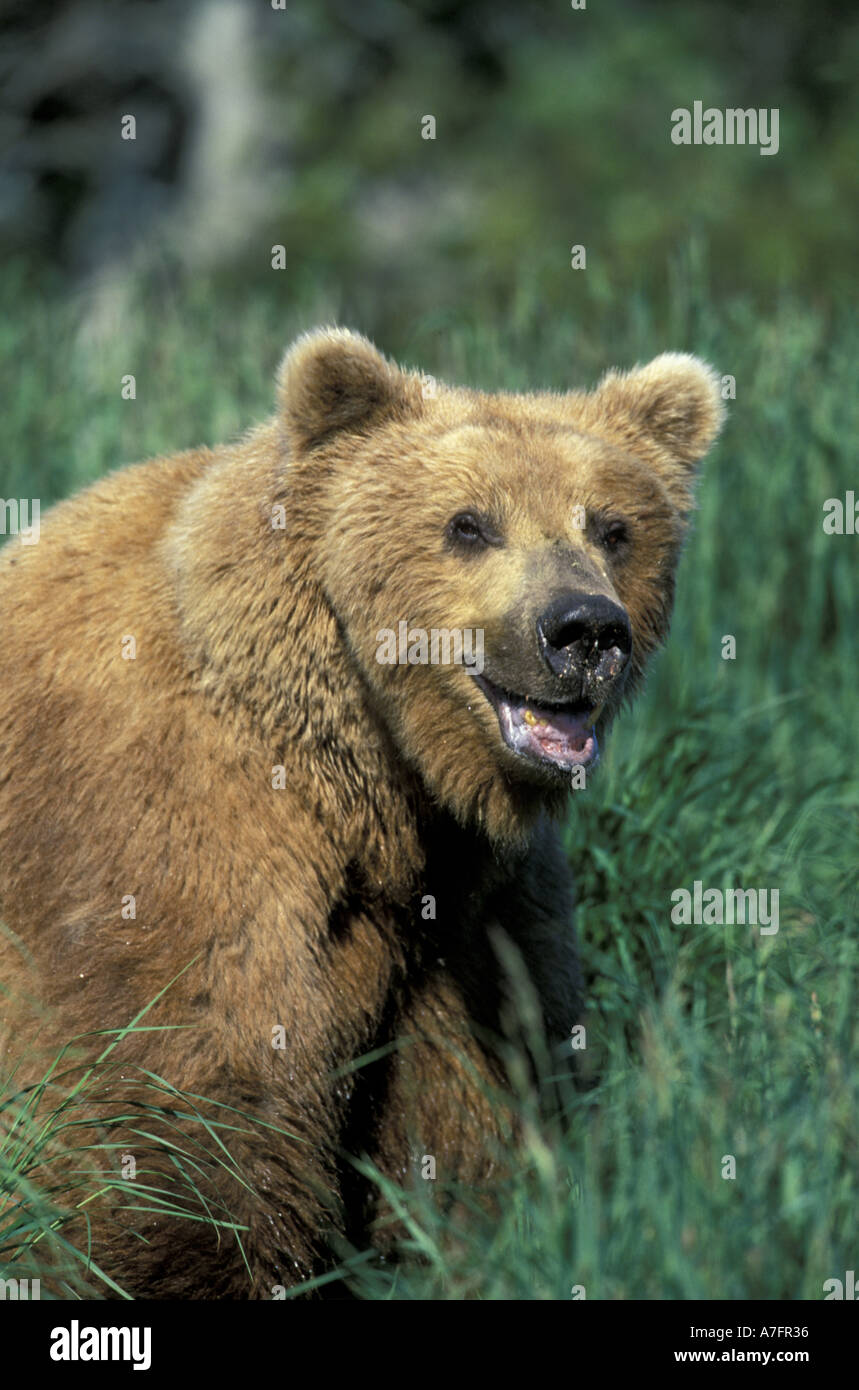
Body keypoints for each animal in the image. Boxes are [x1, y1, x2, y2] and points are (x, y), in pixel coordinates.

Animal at [0, 329, 722, 1298]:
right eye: (468, 523)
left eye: (612, 527)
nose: (584, 630)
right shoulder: (166, 841)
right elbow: (171, 1113)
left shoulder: (466, 924)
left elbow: (469, 1117)